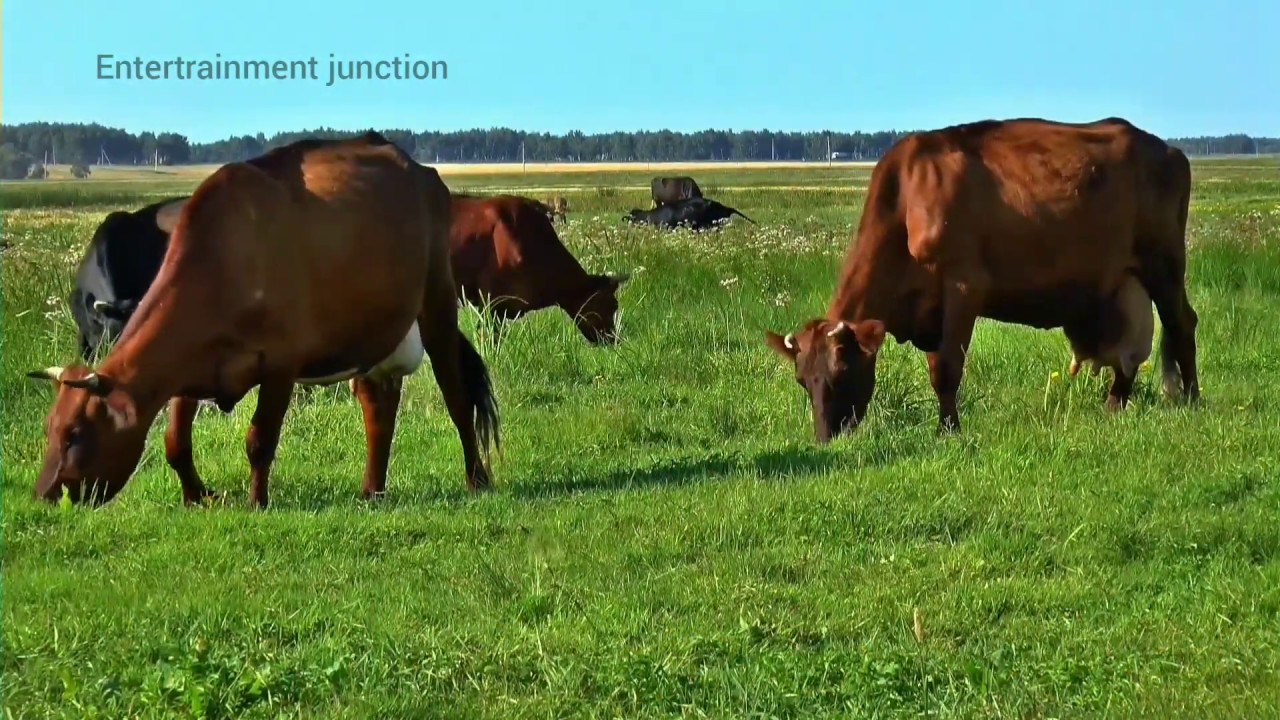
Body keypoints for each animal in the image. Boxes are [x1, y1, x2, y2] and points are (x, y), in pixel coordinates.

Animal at [764, 116, 1199, 443]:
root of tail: (1167, 149)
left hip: (1165, 263)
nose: (826, 439)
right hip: (1122, 282)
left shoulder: (963, 288)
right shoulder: (933, 308)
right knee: (1131, 348)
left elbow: (947, 368)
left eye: (842, 372)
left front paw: (948, 432)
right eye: (803, 380)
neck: (908, 200)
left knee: (1182, 323)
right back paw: (1113, 406)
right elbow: (936, 367)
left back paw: (1194, 399)